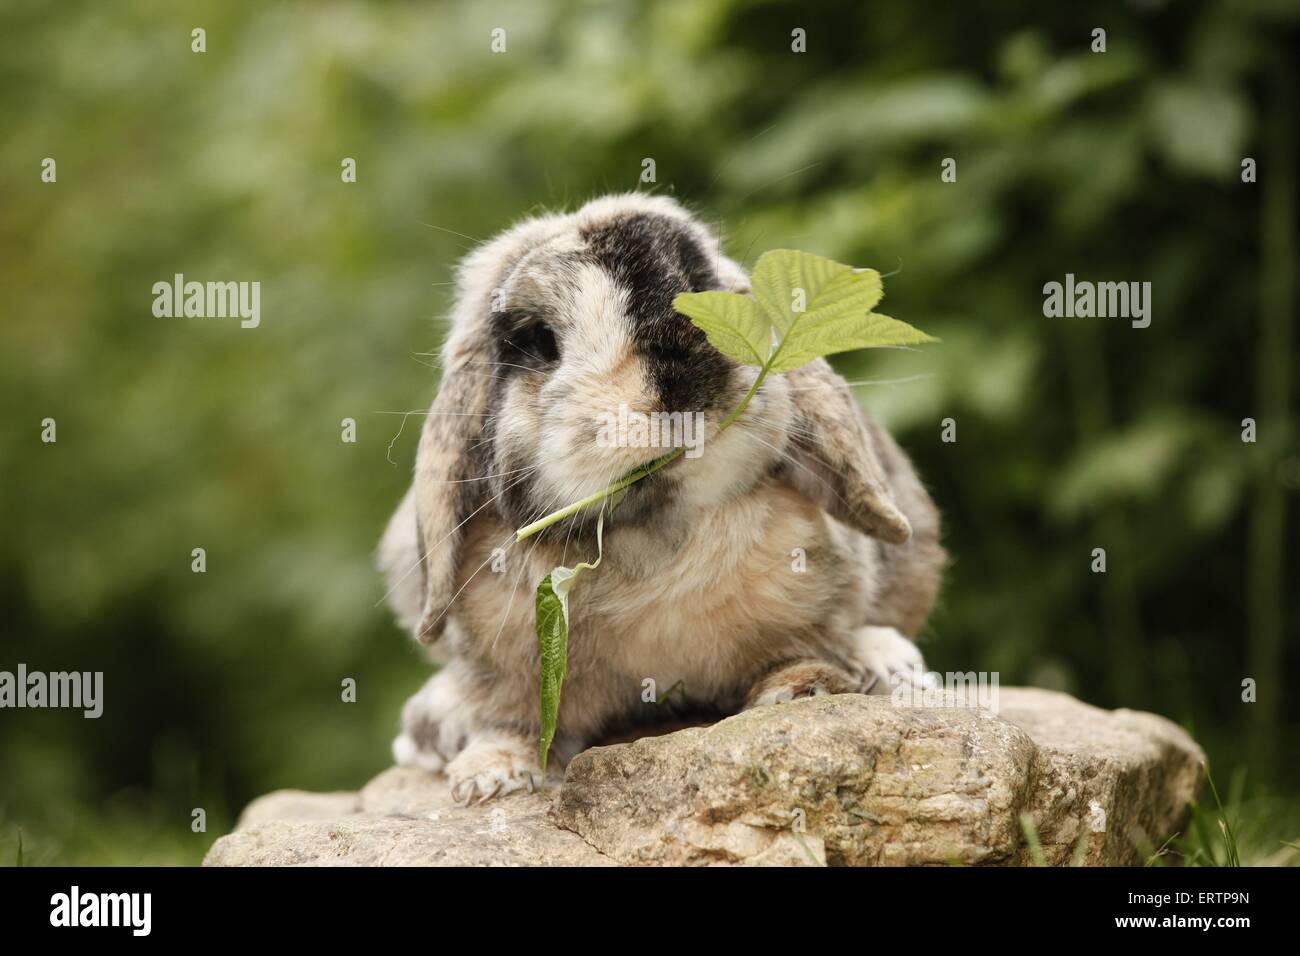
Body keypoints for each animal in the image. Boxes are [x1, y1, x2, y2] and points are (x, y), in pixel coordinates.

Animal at [379, 193, 945, 804]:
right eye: (540, 338)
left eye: (706, 288)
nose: (680, 384)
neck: (651, 533)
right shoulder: (505, 657)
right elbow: (511, 716)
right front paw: (492, 777)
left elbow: (804, 649)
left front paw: (804, 692)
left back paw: (888, 662)